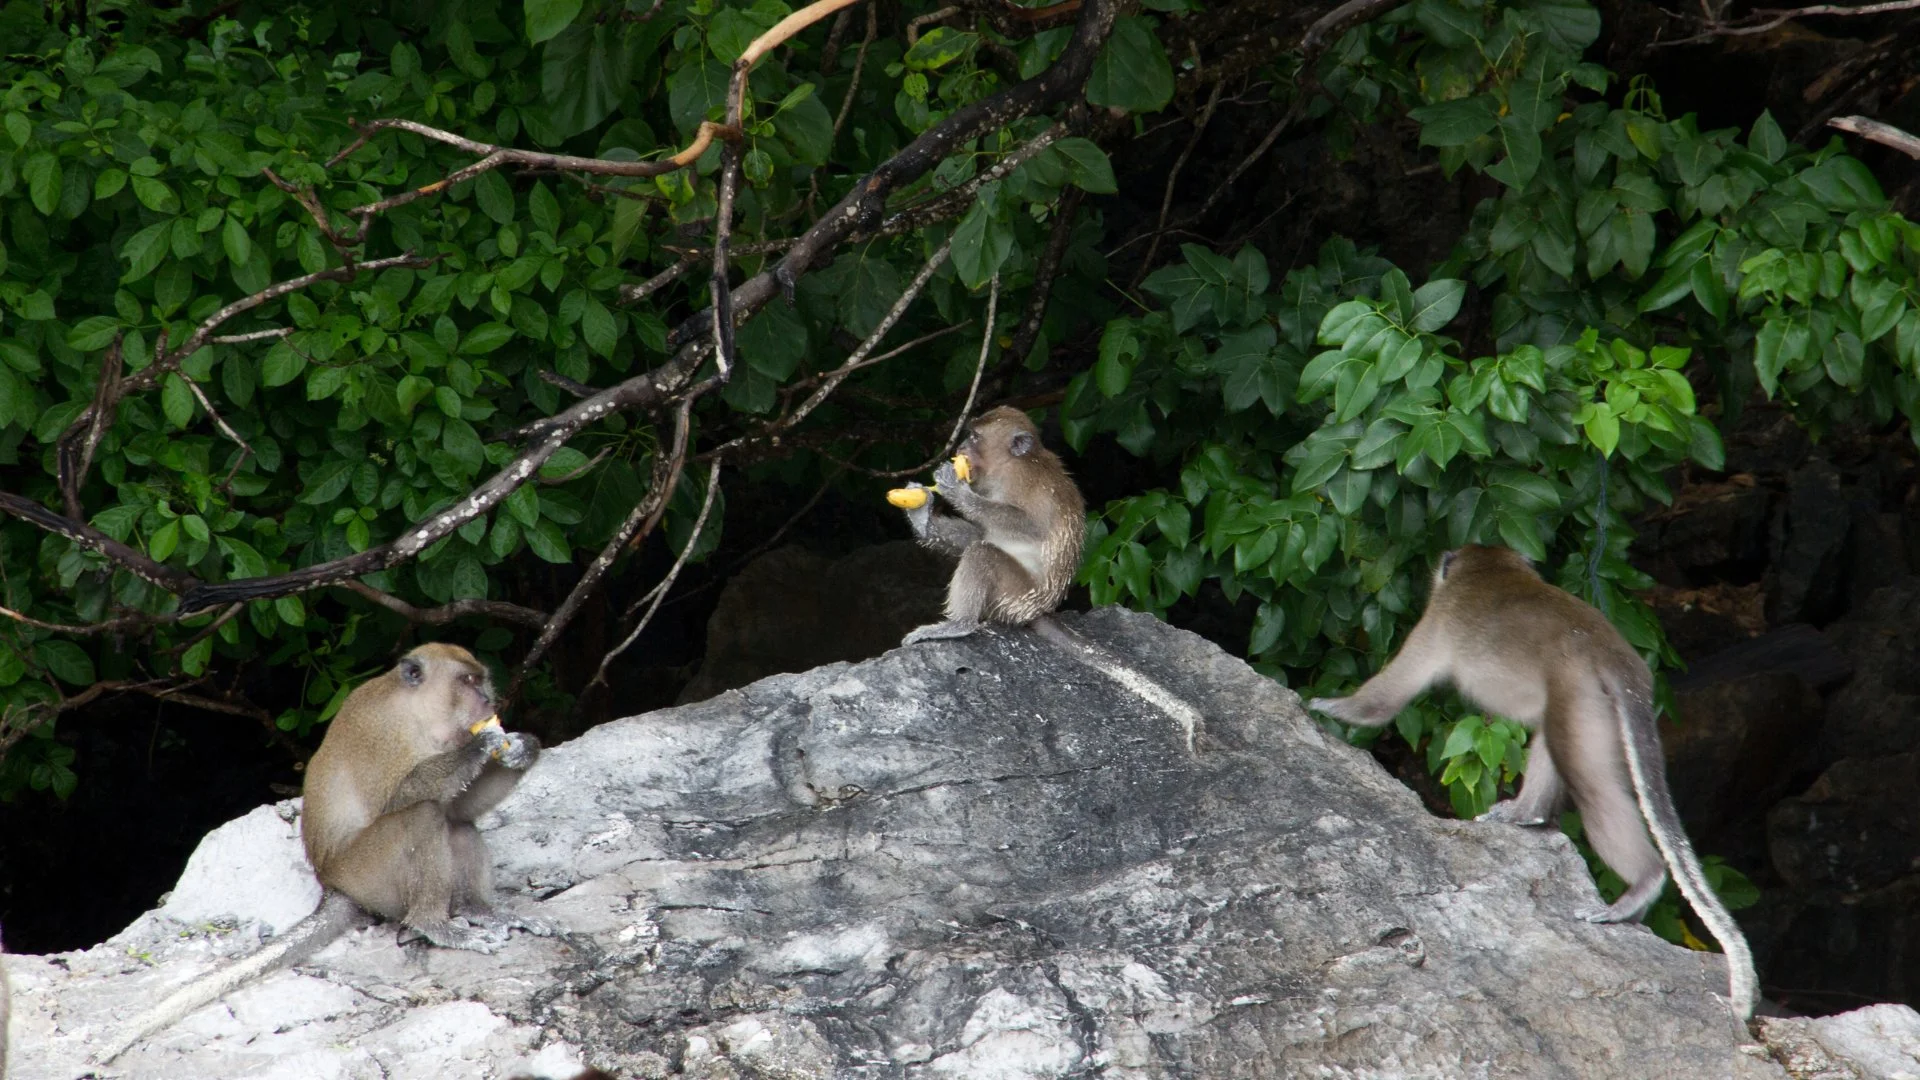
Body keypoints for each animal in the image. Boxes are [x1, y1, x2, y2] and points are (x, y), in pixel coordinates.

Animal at [95, 643, 543, 1064]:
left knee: (458, 825)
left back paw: (479, 910)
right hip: (370, 876)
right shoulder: (382, 735)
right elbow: (403, 798)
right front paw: (481, 748)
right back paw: (434, 924)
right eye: (466, 681)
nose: (487, 700)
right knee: (422, 815)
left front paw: (524, 748)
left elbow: (462, 808)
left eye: (481, 680)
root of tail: (332, 884)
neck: (420, 714)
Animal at [898, 406, 1204, 751]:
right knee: (979, 540)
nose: (960, 449)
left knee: (983, 552)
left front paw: (955, 490)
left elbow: (1027, 525)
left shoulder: (1026, 484)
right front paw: (924, 506)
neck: (1009, 466)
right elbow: (983, 530)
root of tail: (1041, 609)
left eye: (974, 437)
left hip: (1016, 596)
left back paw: (959, 625)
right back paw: (923, 522)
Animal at [1306, 545, 1757, 1021]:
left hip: (1582, 697)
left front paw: (1324, 706)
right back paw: (1528, 816)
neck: (1489, 568)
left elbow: (1385, 700)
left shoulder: (1438, 619)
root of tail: (1614, 652)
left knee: (1591, 786)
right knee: (1552, 736)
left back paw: (1639, 886)